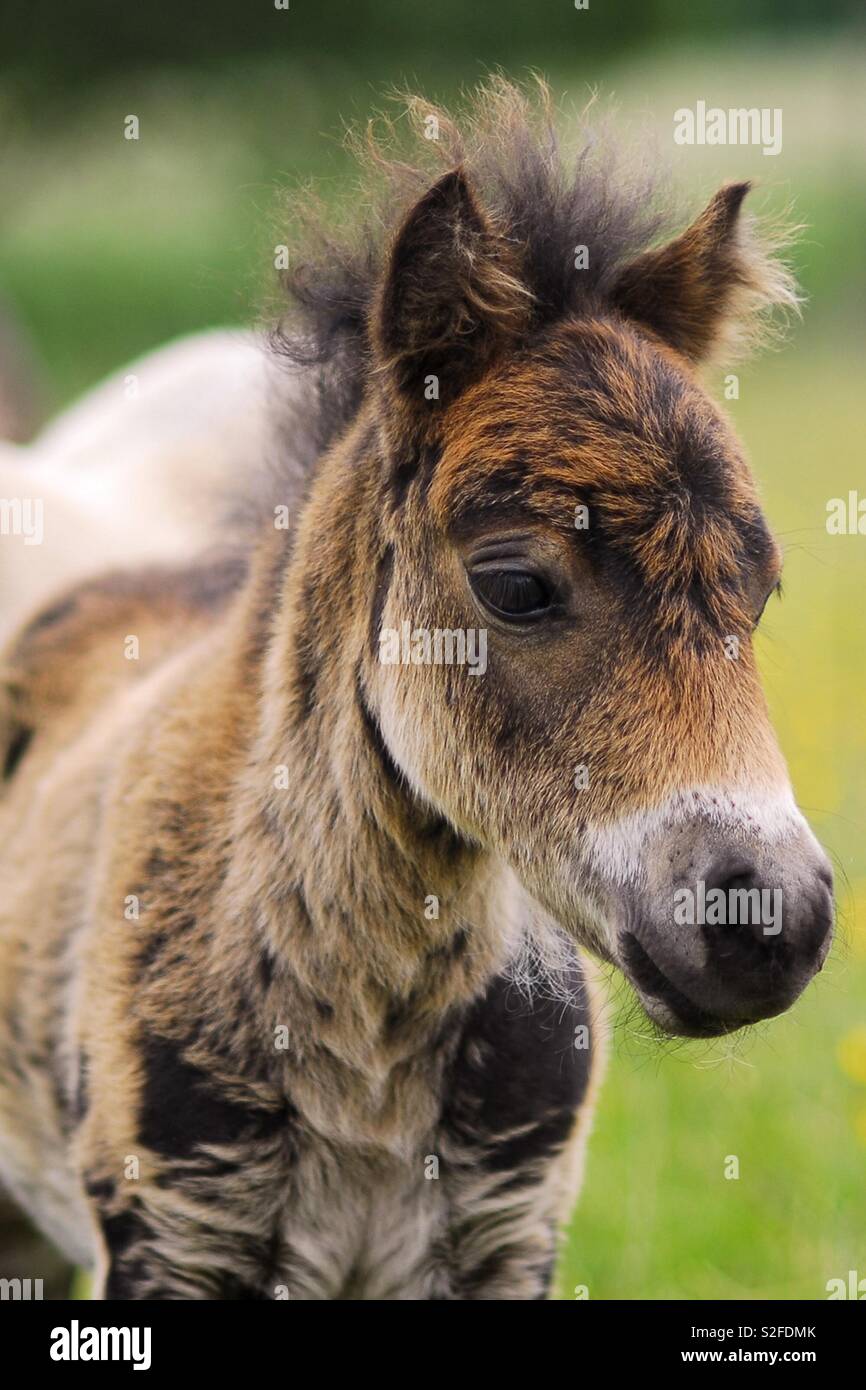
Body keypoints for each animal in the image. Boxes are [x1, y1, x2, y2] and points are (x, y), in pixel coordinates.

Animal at [0, 79, 834, 1300]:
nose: (772, 919)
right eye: (515, 584)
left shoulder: (508, 1235)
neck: (373, 1036)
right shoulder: (169, 1239)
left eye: (759, 591)